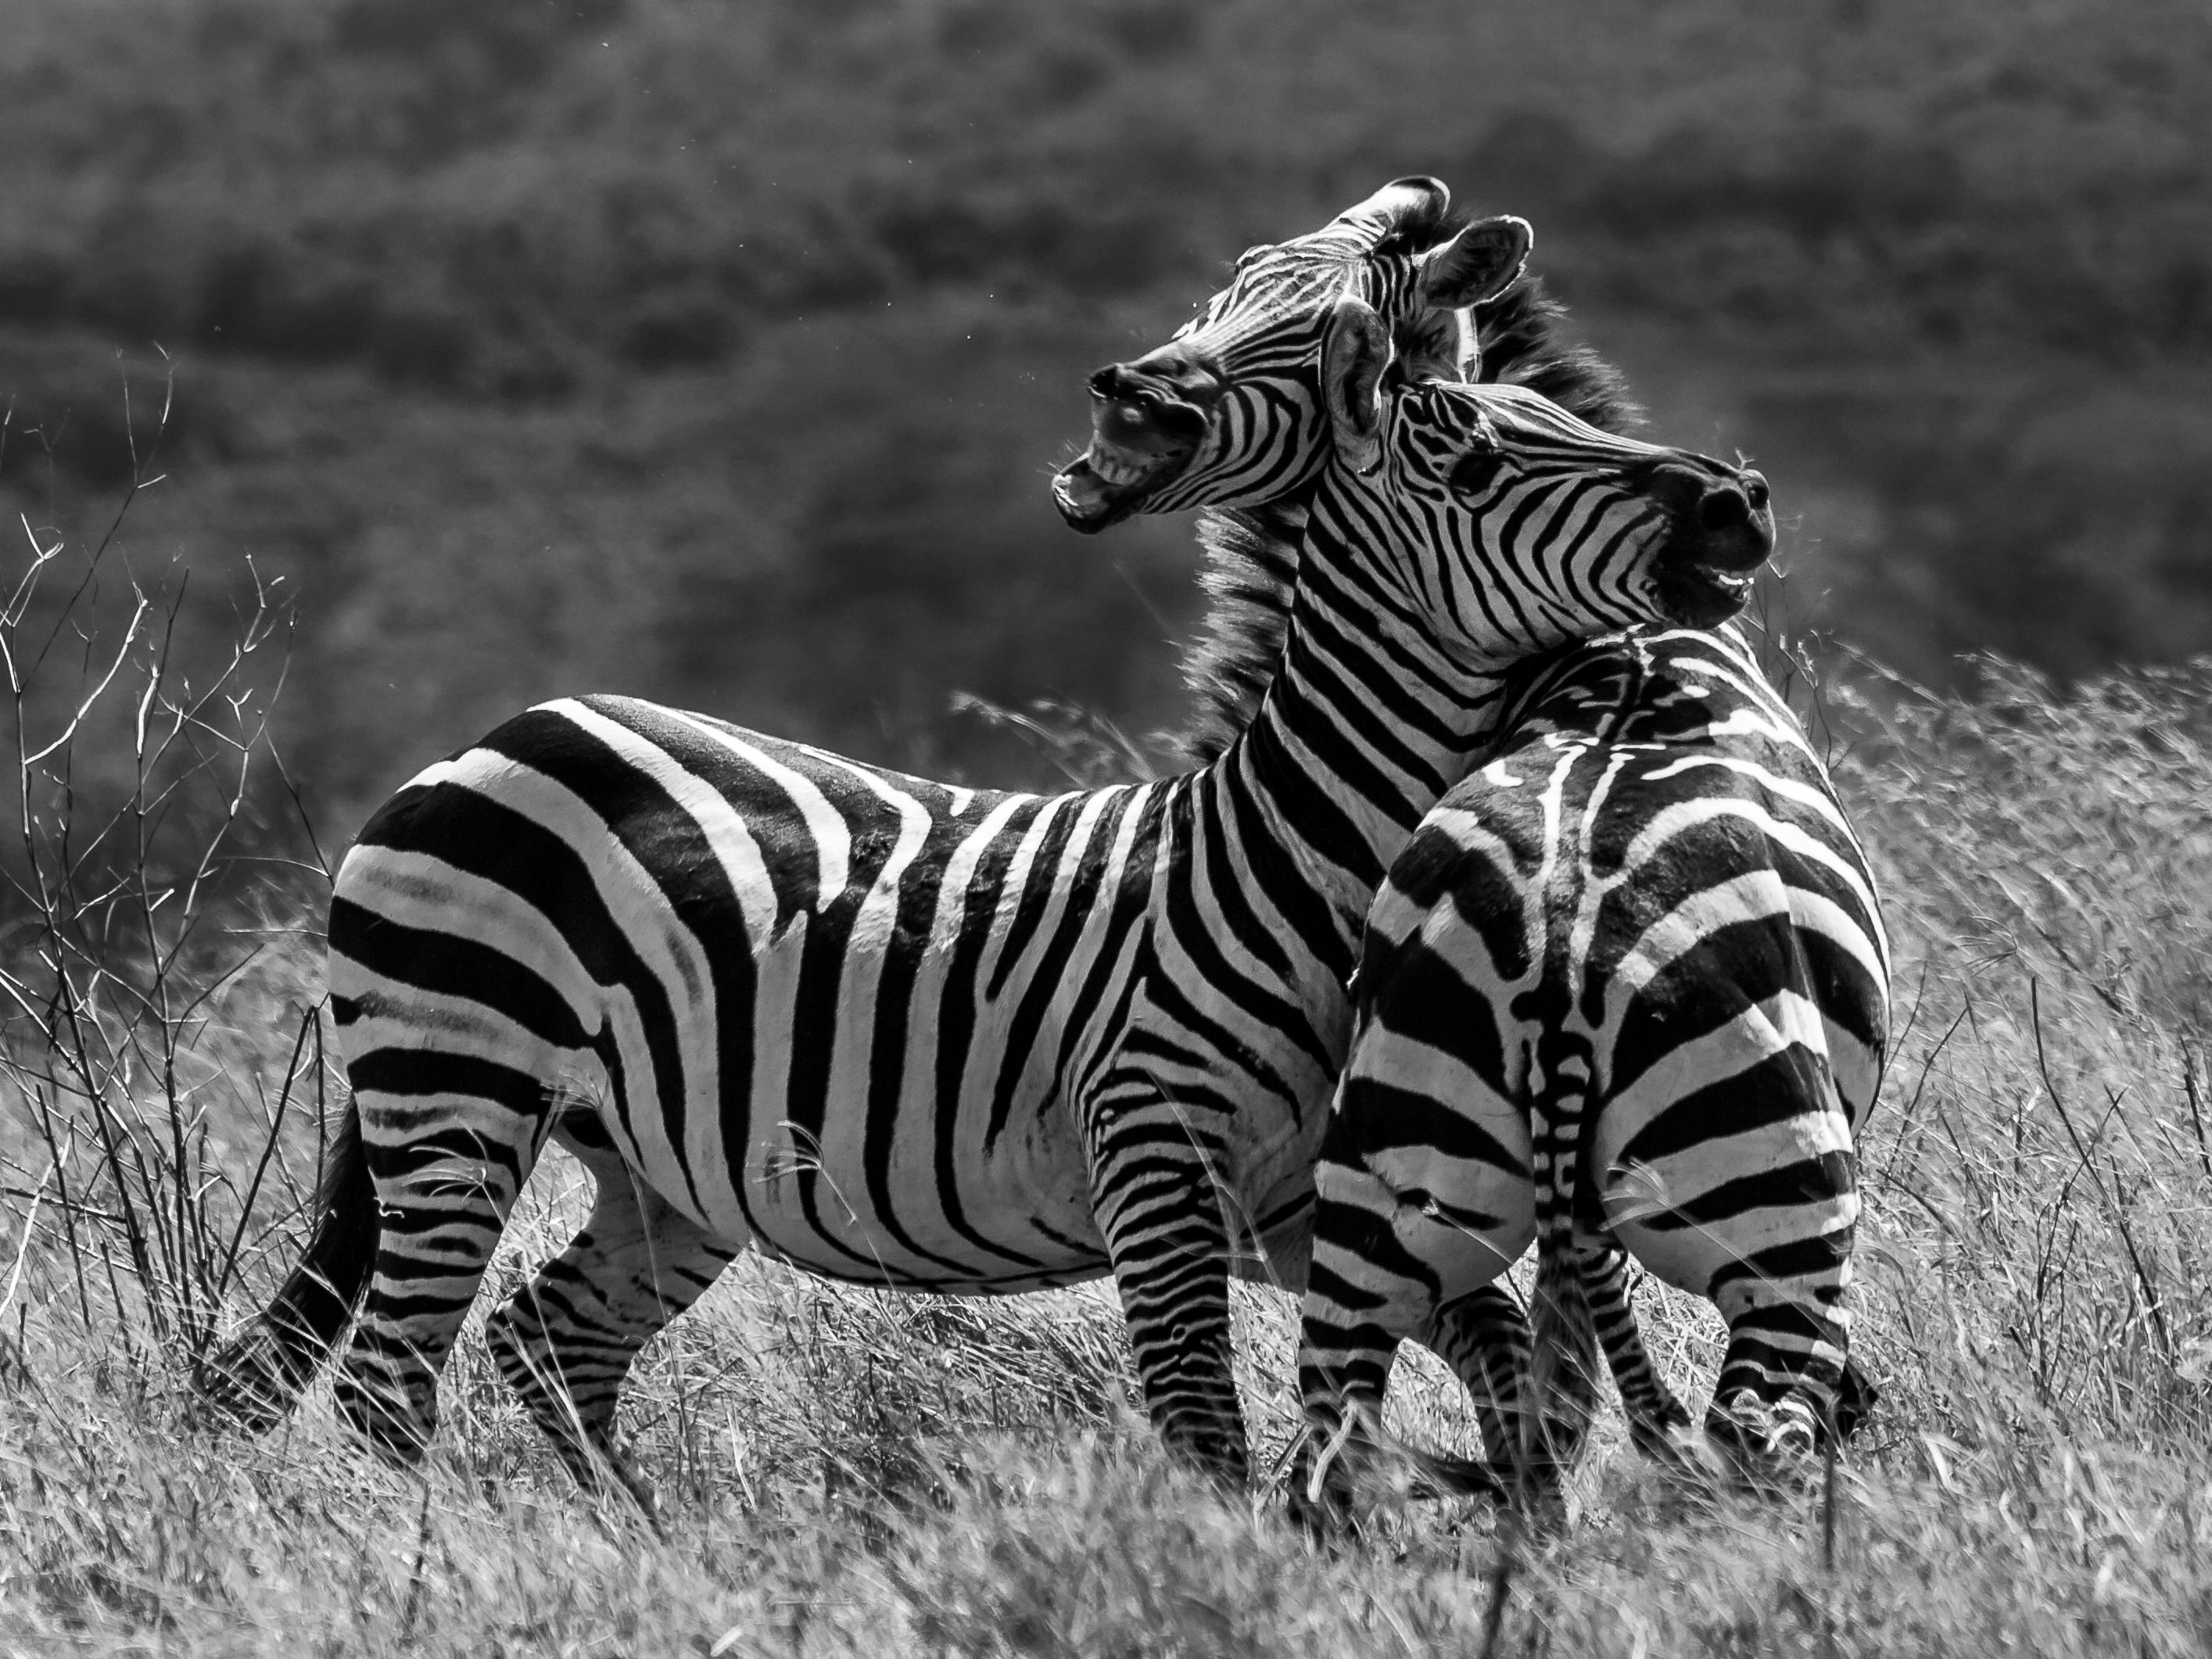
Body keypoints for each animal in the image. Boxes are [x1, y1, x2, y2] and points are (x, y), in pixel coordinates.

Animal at [1289, 622, 1890, 1525]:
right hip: (1780, 1199)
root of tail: (1559, 957)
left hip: (1382, 1181)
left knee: (1336, 1438)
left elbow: (1573, 1315)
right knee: (1759, 1433)